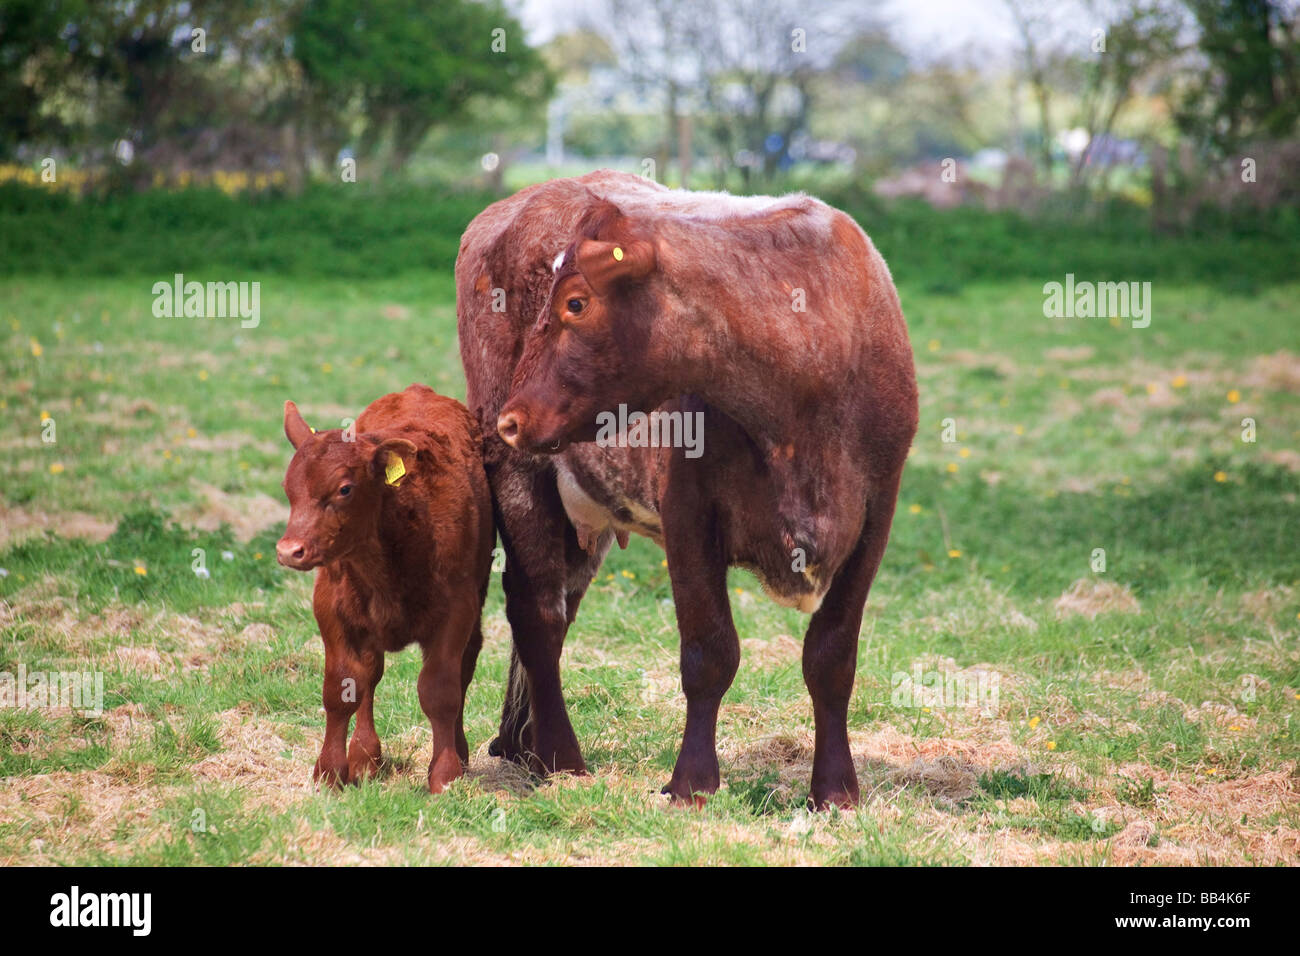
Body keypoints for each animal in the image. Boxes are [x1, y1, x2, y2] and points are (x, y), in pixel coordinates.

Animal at [276, 384, 494, 794]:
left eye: (345, 489)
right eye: (287, 487)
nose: (289, 550)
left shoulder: (457, 610)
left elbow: (441, 690)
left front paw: (445, 774)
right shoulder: (330, 607)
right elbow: (342, 688)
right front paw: (330, 772)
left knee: (465, 667)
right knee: (369, 675)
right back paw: (364, 757)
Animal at [459, 170, 917, 809]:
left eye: (576, 302)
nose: (513, 418)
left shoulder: (876, 514)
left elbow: (831, 657)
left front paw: (834, 789)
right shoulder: (689, 513)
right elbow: (709, 652)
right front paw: (692, 782)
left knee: (561, 605)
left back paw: (520, 742)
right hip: (518, 475)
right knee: (538, 612)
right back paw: (559, 758)